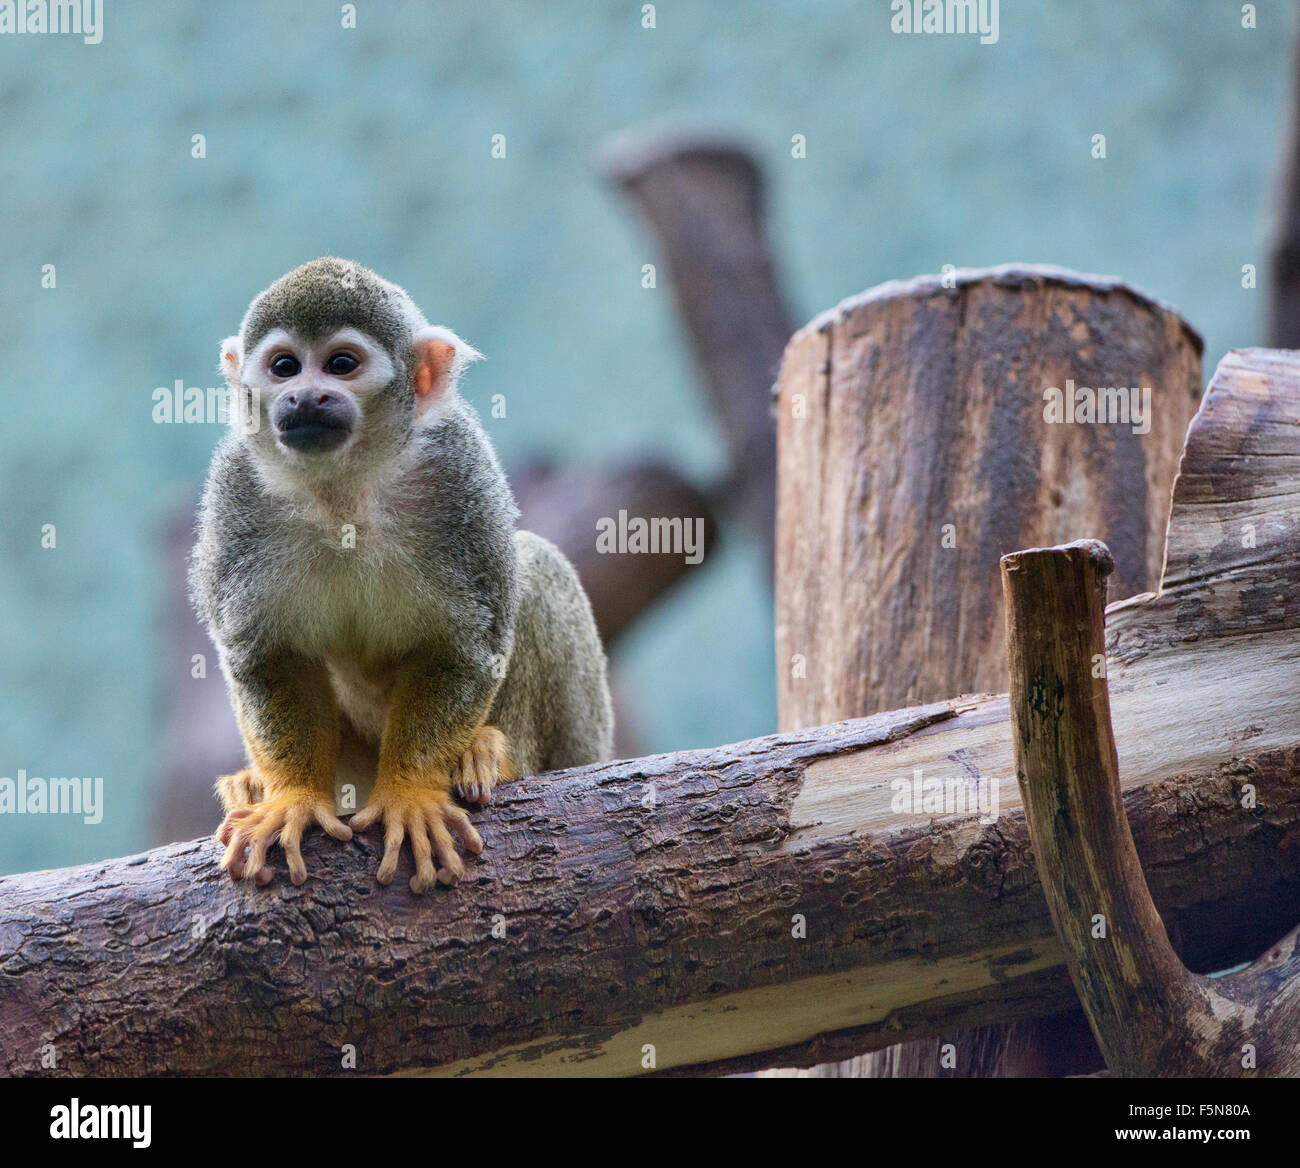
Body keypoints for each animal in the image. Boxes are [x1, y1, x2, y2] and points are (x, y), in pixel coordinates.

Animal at [190, 257, 614, 893]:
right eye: (283, 367)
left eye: (341, 364)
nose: (304, 396)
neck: (344, 489)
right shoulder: (235, 489)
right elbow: (267, 655)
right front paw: (292, 797)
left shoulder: (460, 469)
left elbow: (464, 645)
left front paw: (411, 791)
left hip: (582, 743)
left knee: (536, 568)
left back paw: (492, 756)